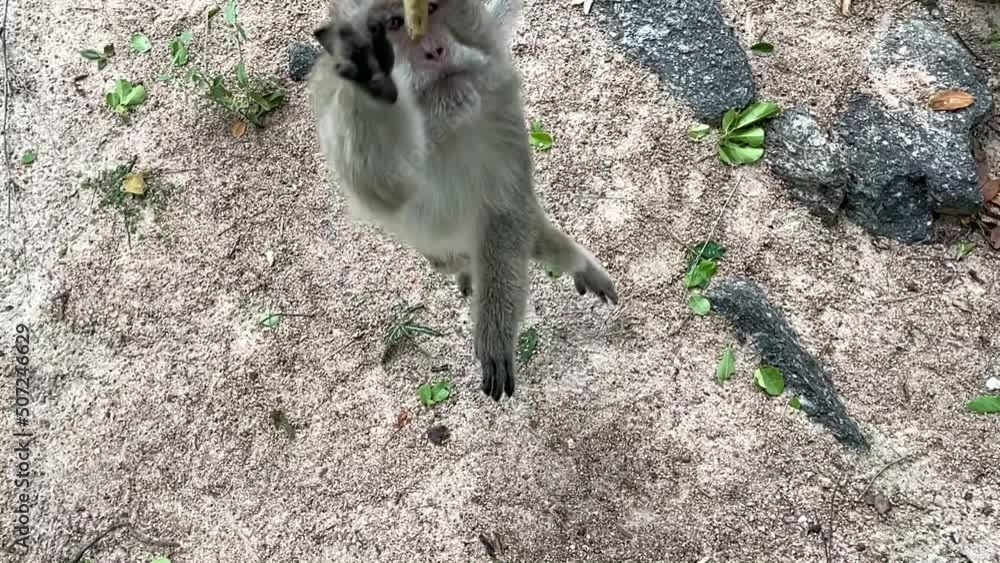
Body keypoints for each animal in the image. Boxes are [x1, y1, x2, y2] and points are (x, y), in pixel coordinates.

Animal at [308, 0, 618, 401]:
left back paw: (576, 264)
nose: (435, 50)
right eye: (394, 24)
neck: (445, 122)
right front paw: (371, 75)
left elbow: (504, 211)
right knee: (447, 255)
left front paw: (494, 332)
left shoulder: (503, 116)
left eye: (434, 8)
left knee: (528, 236)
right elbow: (383, 189)